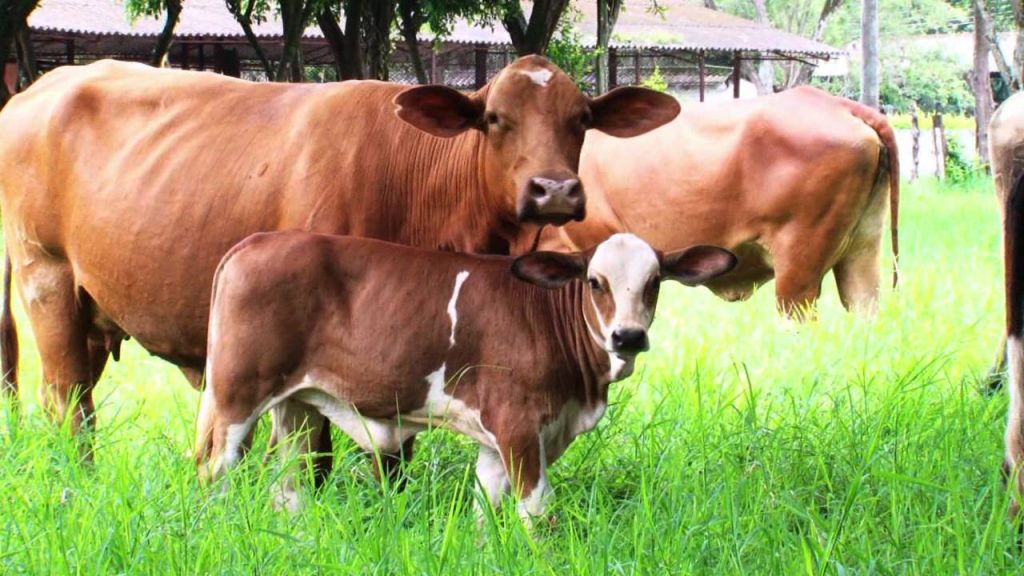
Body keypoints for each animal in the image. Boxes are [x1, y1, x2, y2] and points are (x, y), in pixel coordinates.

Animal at [0, 56, 679, 469]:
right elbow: (315, 450)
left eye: (582, 118)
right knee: (68, 404)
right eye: (493, 119)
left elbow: (396, 450)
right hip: (45, 277)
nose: (554, 190)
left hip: (91, 308)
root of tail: (38, 88)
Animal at [194, 231, 737, 517]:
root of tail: (257, 241)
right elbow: (538, 510)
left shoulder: (495, 439)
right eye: (594, 282)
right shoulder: (519, 425)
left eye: (654, 282)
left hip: (299, 405)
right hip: (237, 396)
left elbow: (486, 509)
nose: (627, 336)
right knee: (217, 468)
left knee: (289, 483)